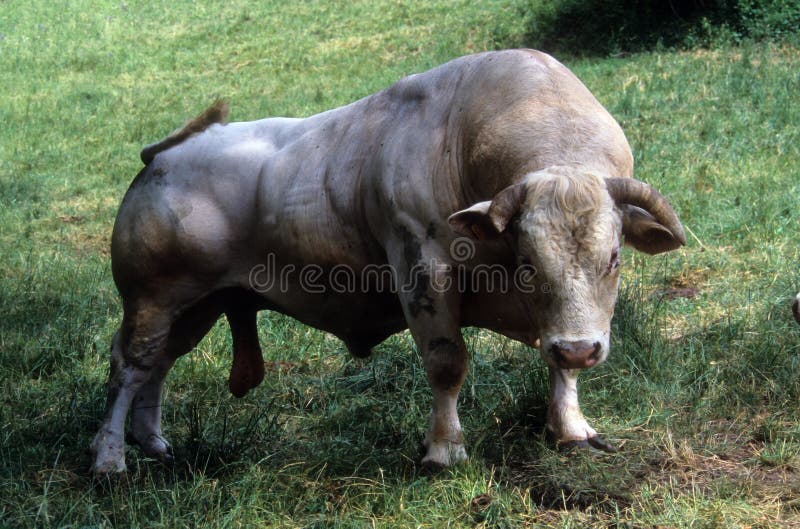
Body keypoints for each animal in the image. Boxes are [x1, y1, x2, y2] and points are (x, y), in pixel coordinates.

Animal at [90, 49, 686, 474]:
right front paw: (443, 450)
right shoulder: (423, 270)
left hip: (197, 306)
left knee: (159, 365)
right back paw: (110, 458)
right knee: (129, 367)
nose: (582, 347)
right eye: (527, 261)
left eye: (613, 257)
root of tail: (166, 153)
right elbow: (447, 363)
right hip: (152, 298)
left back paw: (155, 444)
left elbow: (557, 361)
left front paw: (570, 427)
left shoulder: (560, 321)